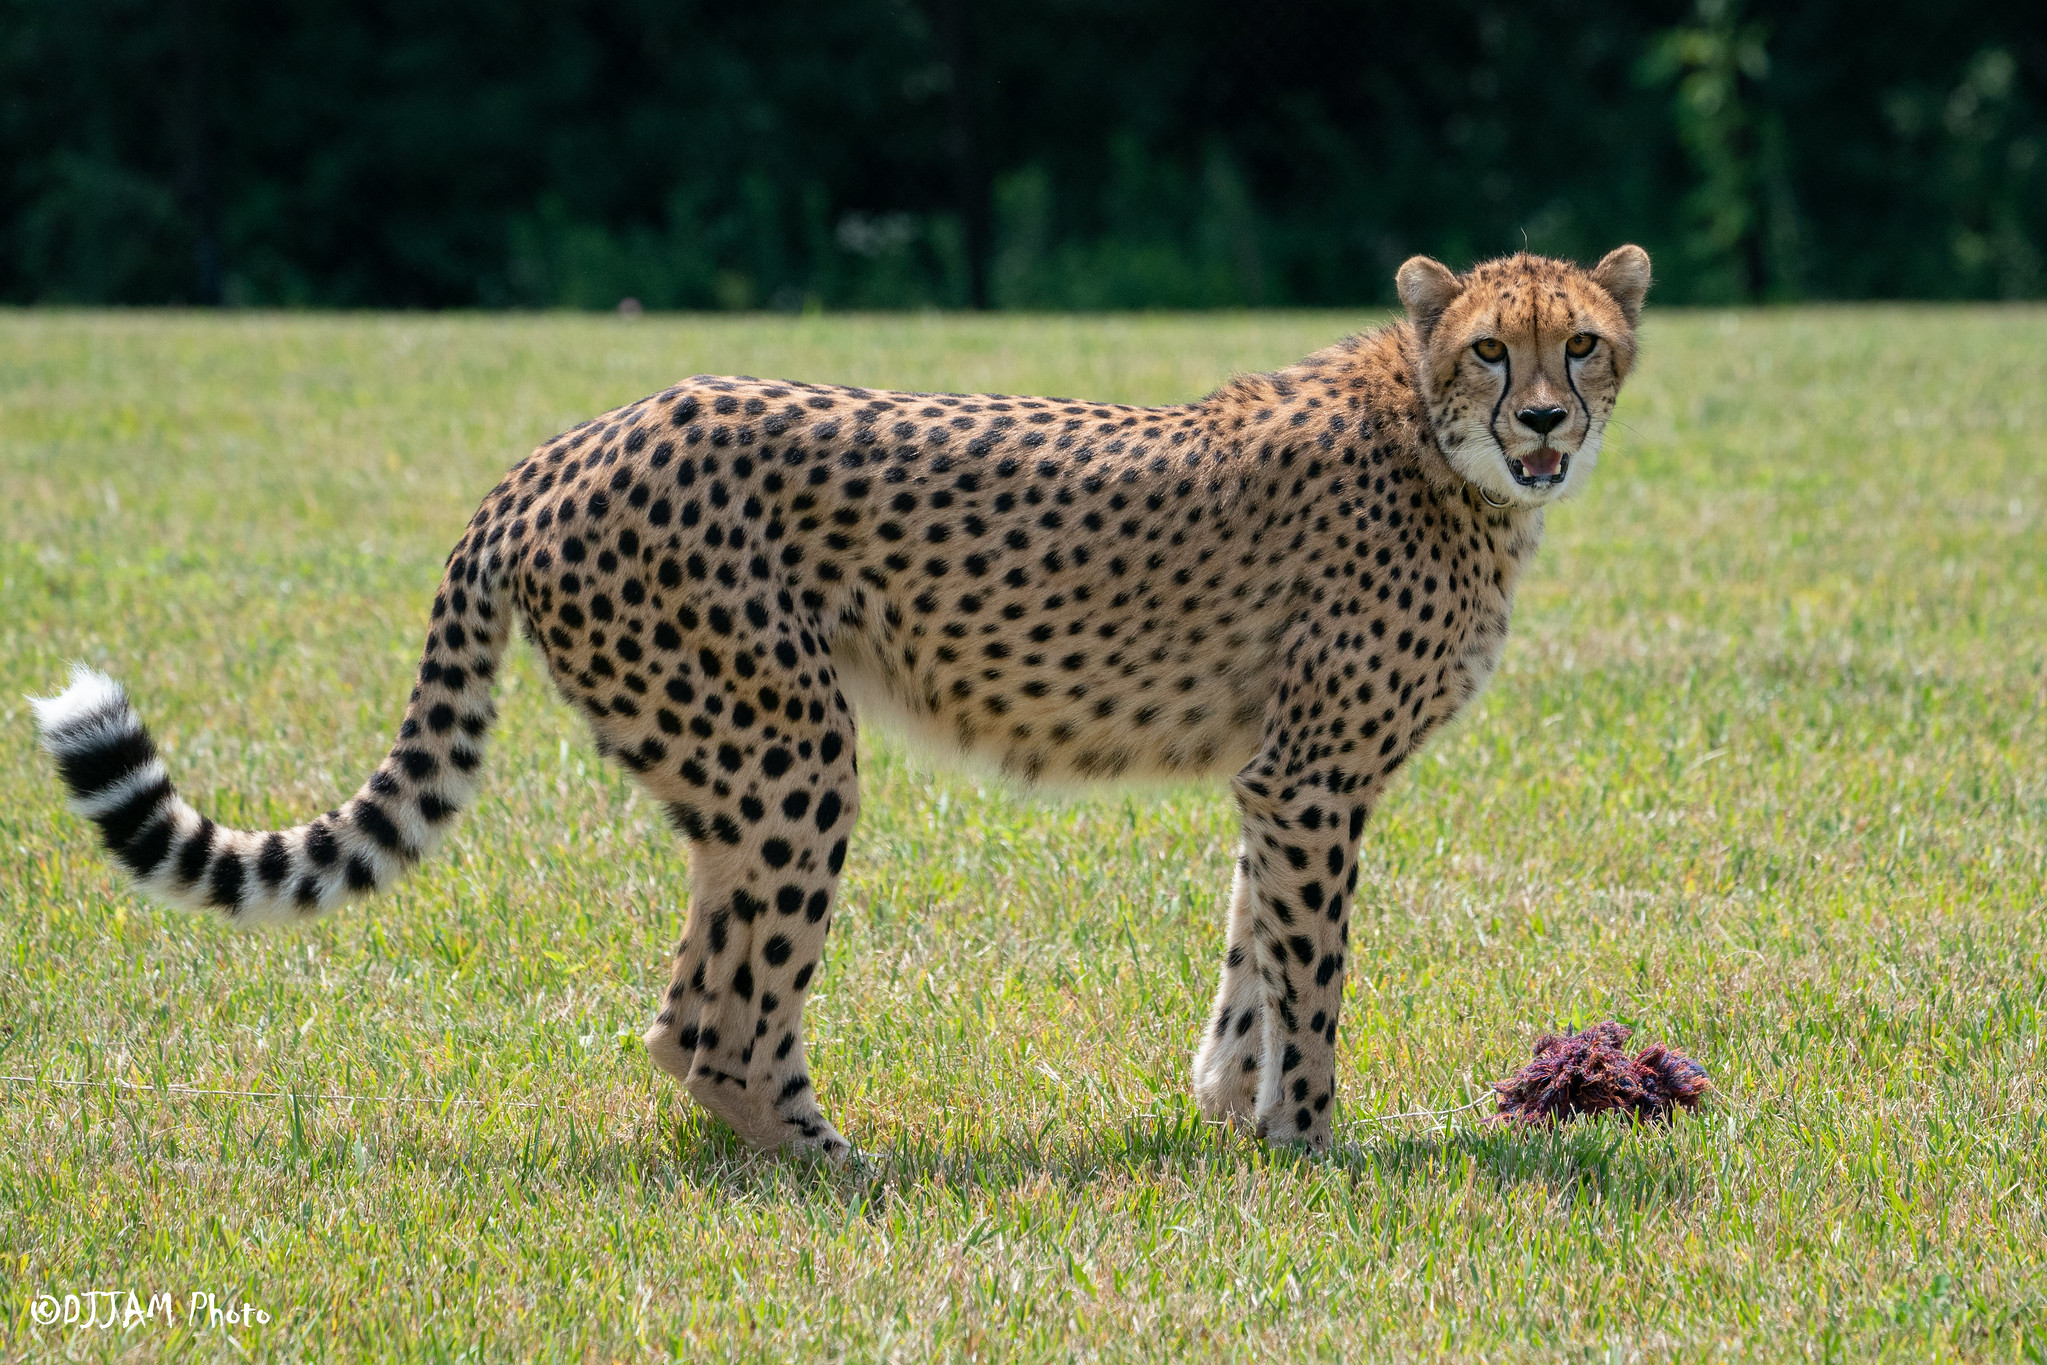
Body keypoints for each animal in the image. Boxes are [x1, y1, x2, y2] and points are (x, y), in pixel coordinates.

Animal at [32, 245, 1651, 1159]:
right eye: (1488, 348)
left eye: (1581, 340)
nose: (1544, 420)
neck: (1435, 443)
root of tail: (567, 443)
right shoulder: (1315, 776)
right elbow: (1307, 974)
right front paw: (1316, 1142)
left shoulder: (1274, 776)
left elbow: (1249, 950)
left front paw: (1230, 1110)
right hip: (788, 751)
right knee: (716, 1014)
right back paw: (836, 1168)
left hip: (736, 764)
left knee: (690, 1006)